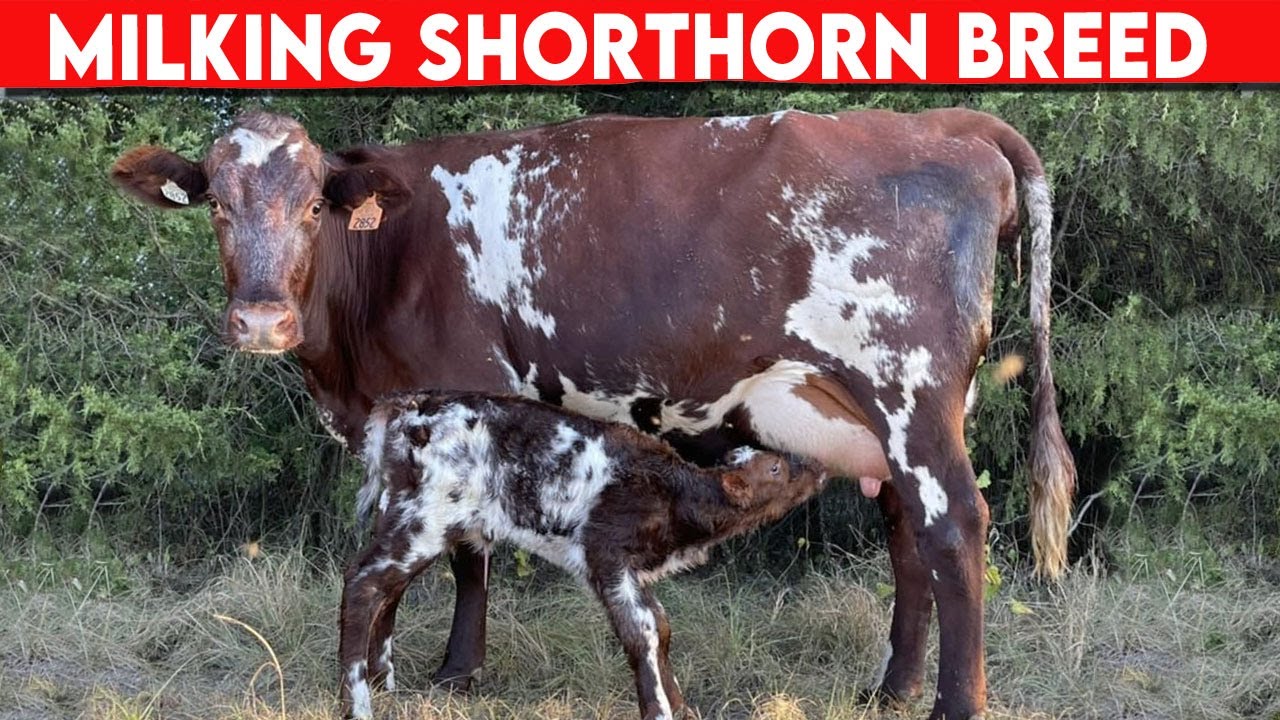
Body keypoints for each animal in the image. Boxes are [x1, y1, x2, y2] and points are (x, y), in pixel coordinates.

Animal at [342, 389, 829, 720]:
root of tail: (409, 405)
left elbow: (662, 626)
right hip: (426, 516)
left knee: (388, 590)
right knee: (363, 581)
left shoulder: (631, 571)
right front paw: (660, 710)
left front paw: (681, 707)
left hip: (404, 513)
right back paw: (360, 703)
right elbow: (642, 630)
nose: (816, 464)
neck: (673, 493)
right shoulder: (605, 555)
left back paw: (385, 686)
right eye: (775, 468)